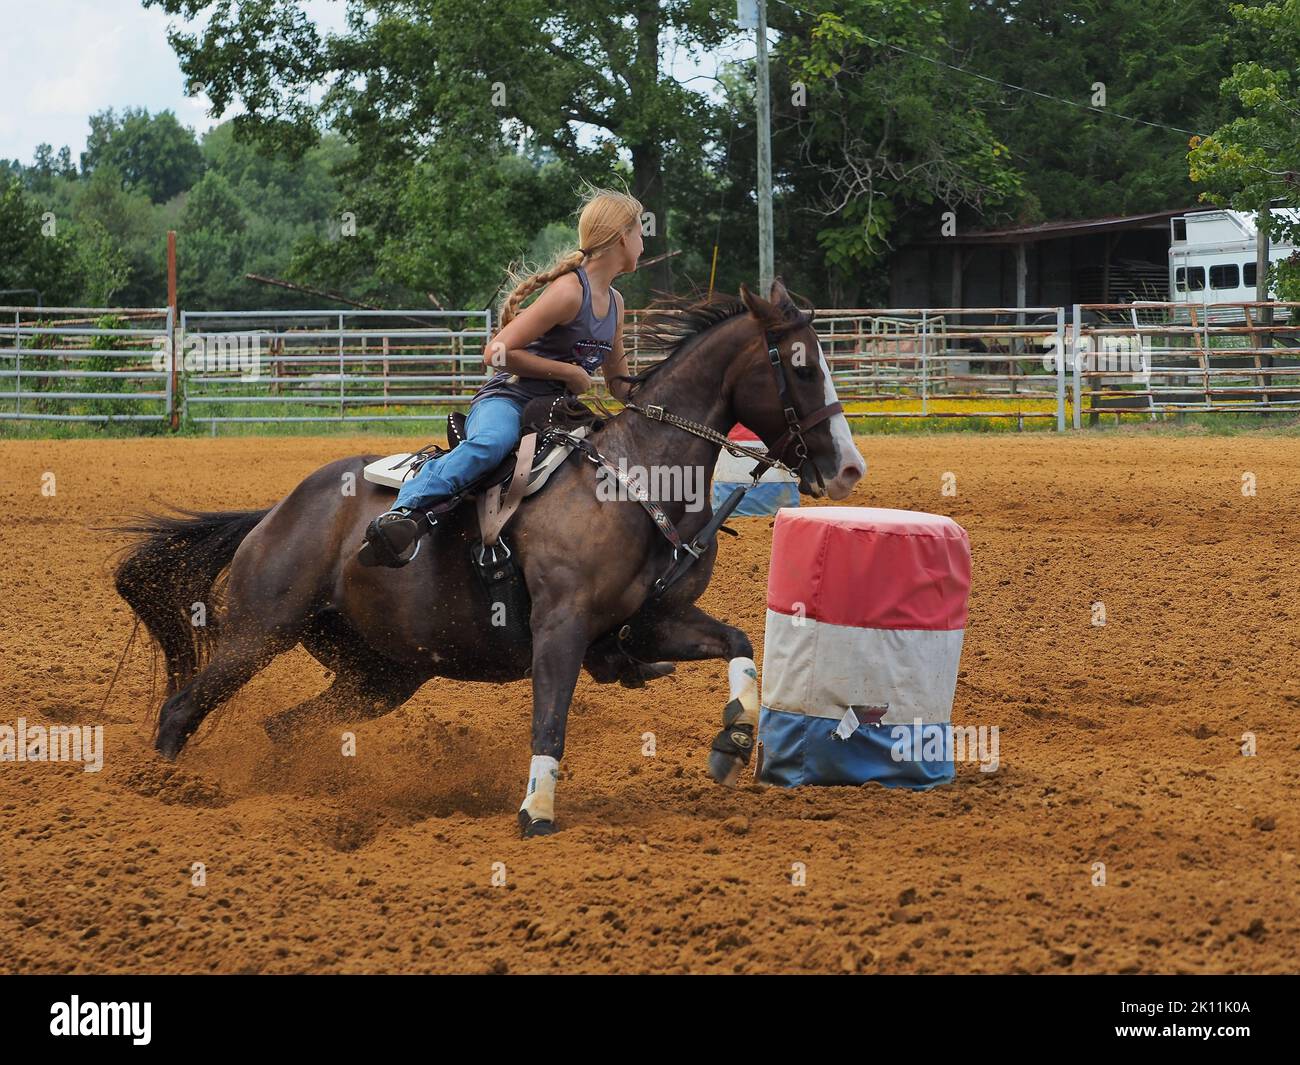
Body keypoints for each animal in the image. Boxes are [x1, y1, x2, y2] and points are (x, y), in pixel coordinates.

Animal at [112, 280, 866, 835]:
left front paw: (733, 740)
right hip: (259, 630)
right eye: (800, 364)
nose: (849, 468)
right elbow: (550, 717)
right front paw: (536, 811)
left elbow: (740, 642)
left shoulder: (649, 623)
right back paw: (162, 790)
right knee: (181, 708)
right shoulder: (561, 624)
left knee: (283, 726)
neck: (637, 477)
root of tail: (274, 512)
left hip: (380, 674)